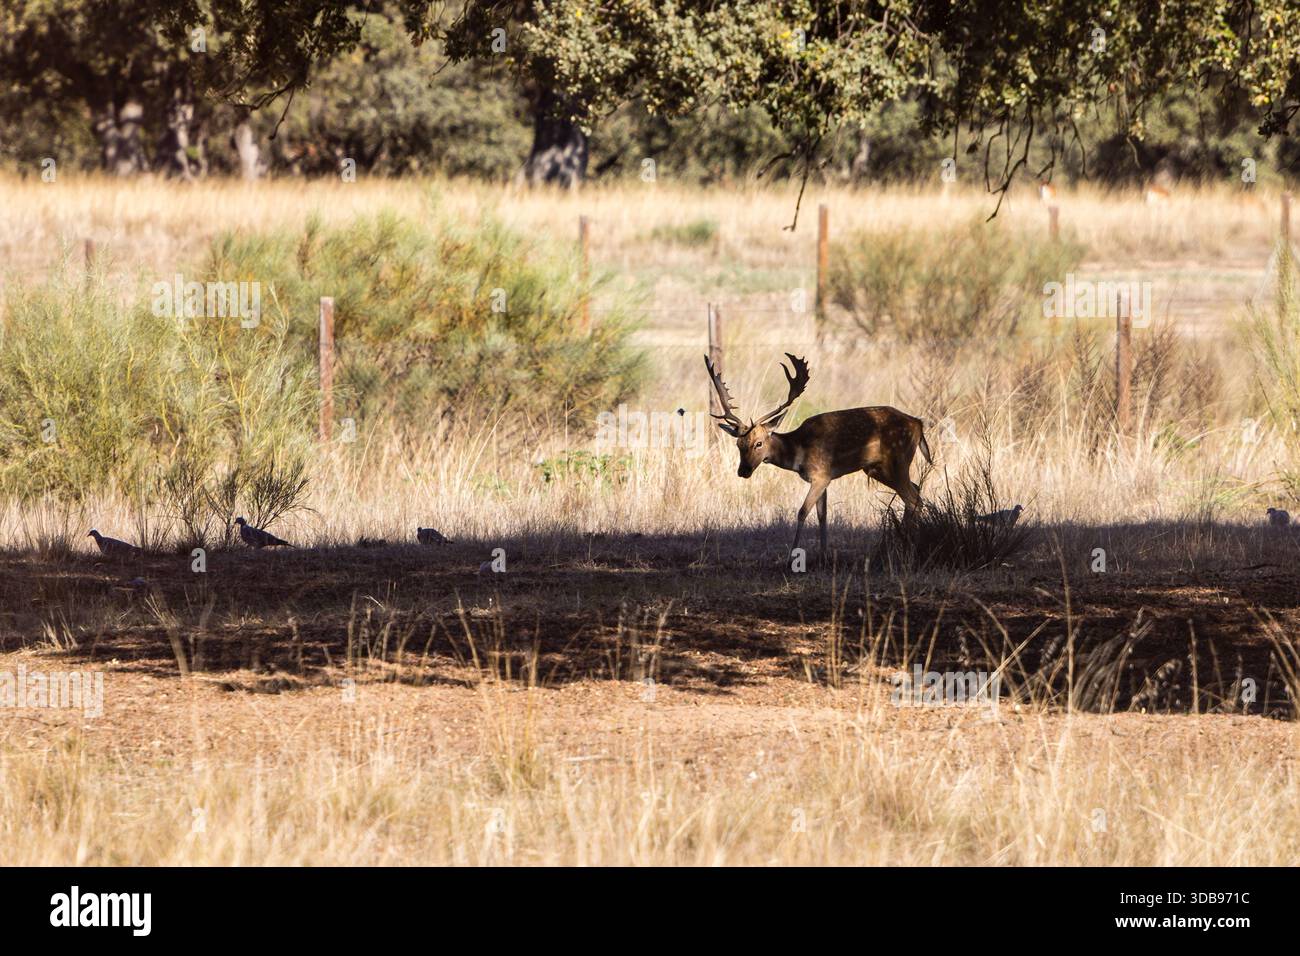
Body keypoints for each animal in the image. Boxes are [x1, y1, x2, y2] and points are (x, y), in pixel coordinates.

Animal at [705, 352, 931, 561]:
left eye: (759, 443)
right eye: (739, 444)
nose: (743, 471)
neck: (799, 452)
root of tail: (918, 423)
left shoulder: (821, 475)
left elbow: (802, 511)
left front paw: (791, 557)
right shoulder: (825, 479)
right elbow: (822, 515)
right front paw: (824, 555)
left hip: (898, 459)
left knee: (913, 499)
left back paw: (907, 547)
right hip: (878, 468)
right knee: (915, 490)